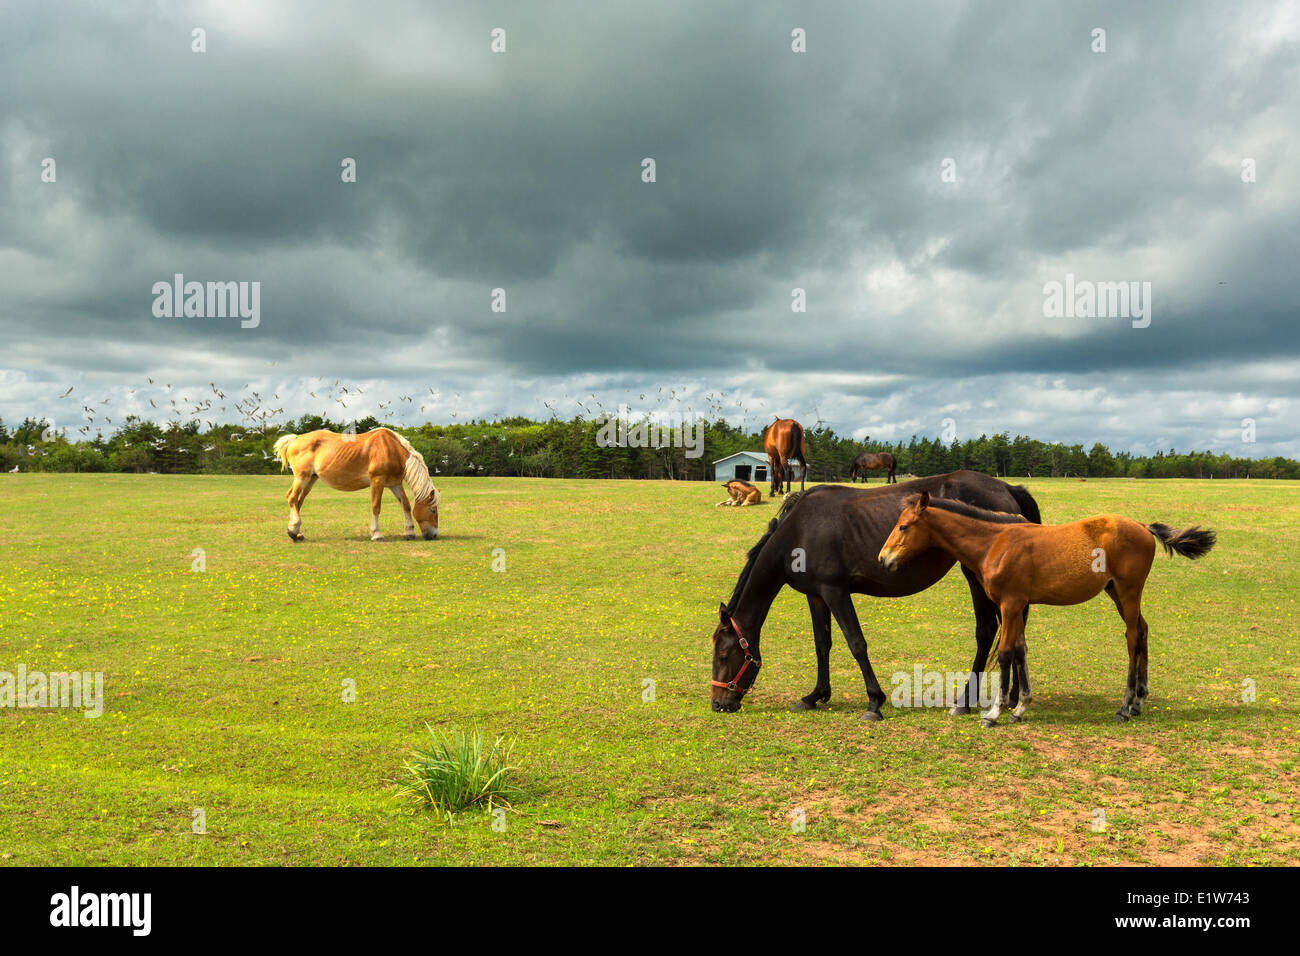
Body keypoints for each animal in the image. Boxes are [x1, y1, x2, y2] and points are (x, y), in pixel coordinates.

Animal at [273, 428, 441, 542]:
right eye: (432, 510)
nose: (433, 535)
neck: (390, 449)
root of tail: (296, 438)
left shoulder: (395, 484)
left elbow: (405, 505)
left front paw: (409, 532)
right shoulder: (377, 481)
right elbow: (376, 507)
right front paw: (377, 534)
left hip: (310, 480)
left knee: (298, 502)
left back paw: (298, 533)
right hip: (302, 477)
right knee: (292, 498)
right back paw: (293, 531)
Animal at [708, 471, 1042, 718]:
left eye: (723, 655)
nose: (718, 704)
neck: (800, 530)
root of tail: (1007, 488)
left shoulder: (835, 591)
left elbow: (856, 643)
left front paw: (873, 702)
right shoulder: (816, 596)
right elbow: (822, 645)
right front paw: (815, 695)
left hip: (976, 577)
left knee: (986, 632)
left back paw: (966, 701)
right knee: (1012, 632)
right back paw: (1012, 696)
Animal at [878, 492, 1215, 725]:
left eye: (903, 526)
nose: (883, 559)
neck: (994, 543)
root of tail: (1144, 527)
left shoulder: (1010, 604)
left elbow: (1005, 653)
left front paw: (995, 712)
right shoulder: (1017, 606)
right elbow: (1021, 650)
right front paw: (1020, 707)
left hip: (1129, 591)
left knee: (1132, 637)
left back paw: (1124, 706)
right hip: (1116, 592)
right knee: (1142, 631)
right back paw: (1138, 702)